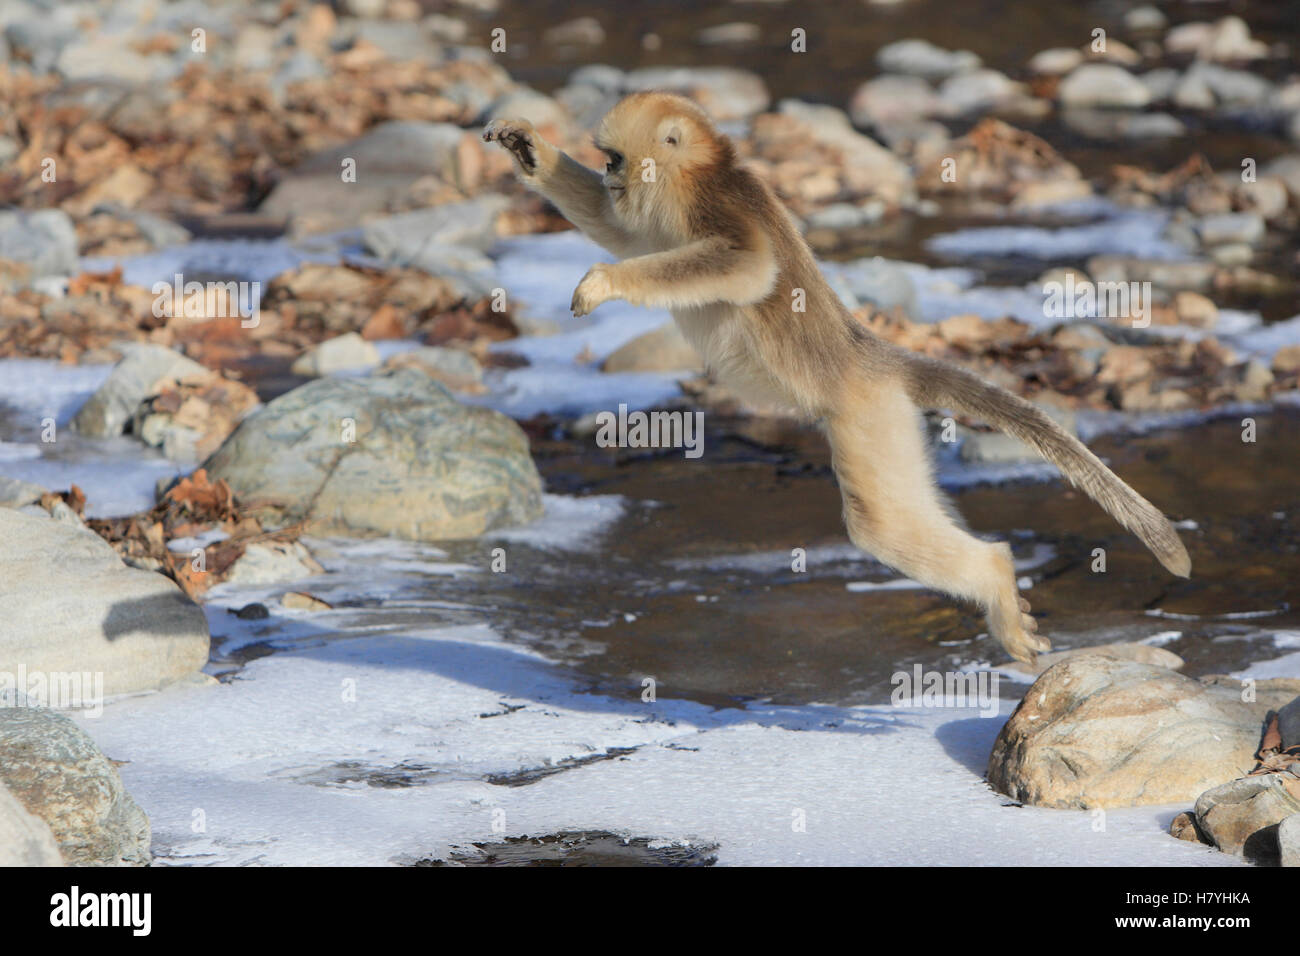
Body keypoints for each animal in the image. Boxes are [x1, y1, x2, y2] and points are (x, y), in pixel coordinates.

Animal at [483, 92, 1190, 664]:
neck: (701, 173)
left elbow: (747, 268)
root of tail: (875, 358)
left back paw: (994, 575)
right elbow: (620, 233)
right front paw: (528, 149)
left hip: (869, 418)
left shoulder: (711, 207)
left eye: (616, 159)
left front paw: (603, 281)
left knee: (881, 524)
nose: (610, 176)